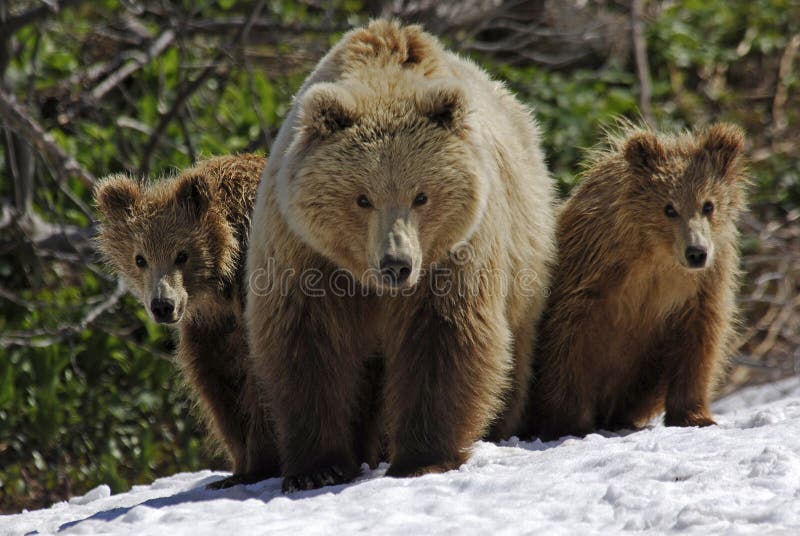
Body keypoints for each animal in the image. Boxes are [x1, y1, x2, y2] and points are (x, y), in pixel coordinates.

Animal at [94, 154, 280, 488]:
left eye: (182, 254)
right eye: (140, 258)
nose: (162, 306)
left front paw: (260, 465)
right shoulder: (208, 328)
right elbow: (216, 386)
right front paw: (236, 468)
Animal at [245, 19, 555, 492]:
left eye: (421, 195)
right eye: (362, 198)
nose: (397, 264)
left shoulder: (453, 254)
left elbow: (443, 337)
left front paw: (423, 458)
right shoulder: (305, 253)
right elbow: (308, 345)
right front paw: (317, 468)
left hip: (525, 256)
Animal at [522, 123, 747, 441]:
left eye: (708, 205)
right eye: (669, 208)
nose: (696, 252)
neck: (656, 255)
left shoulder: (703, 286)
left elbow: (700, 342)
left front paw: (695, 416)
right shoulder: (592, 273)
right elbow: (568, 341)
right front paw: (569, 423)